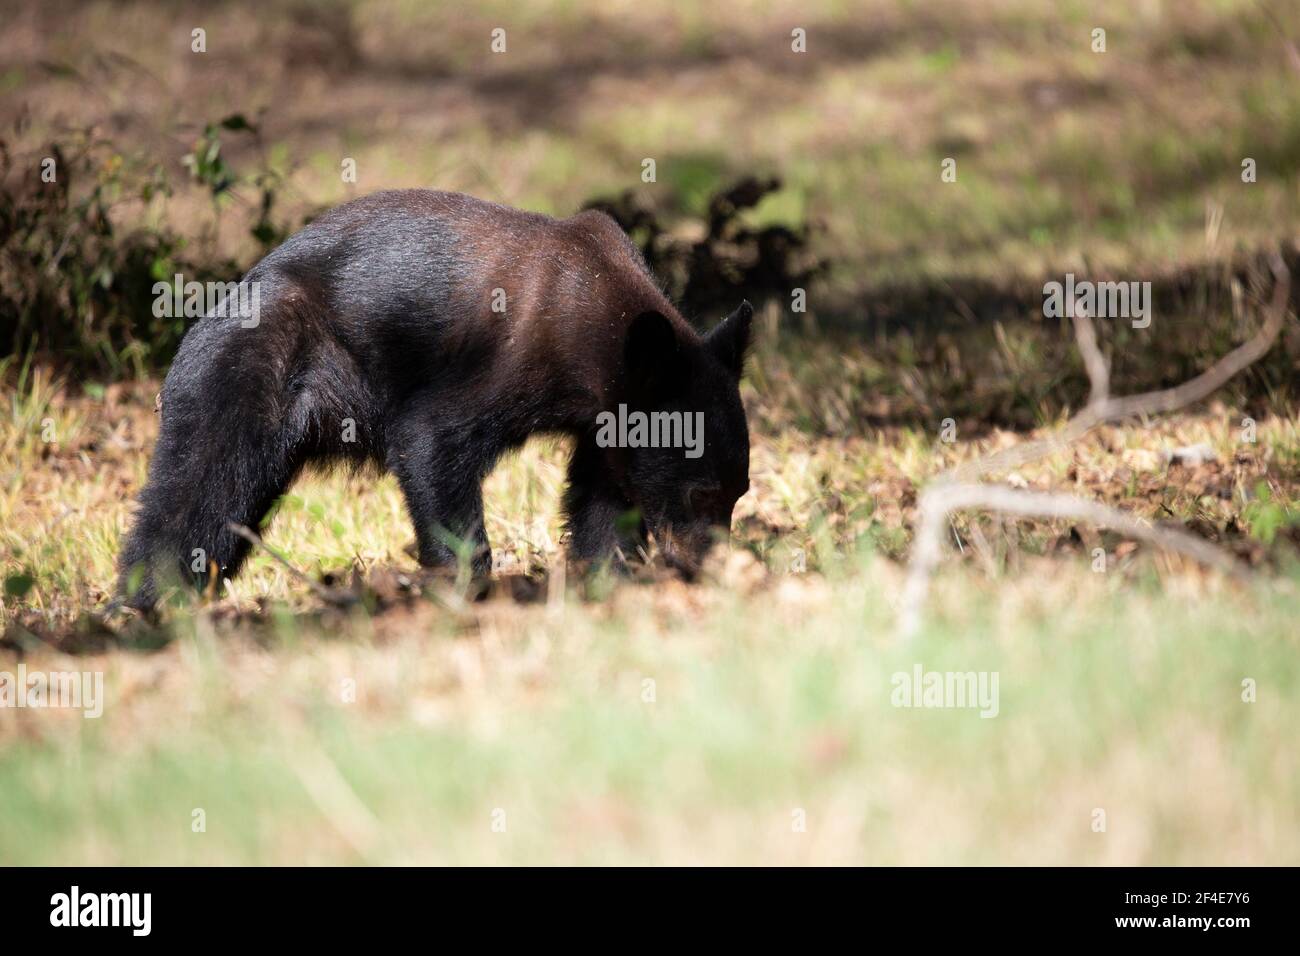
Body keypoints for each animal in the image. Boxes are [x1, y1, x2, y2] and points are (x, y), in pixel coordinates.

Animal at [117, 189, 753, 609]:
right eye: (699, 493)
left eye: (738, 493)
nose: (709, 568)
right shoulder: (505, 357)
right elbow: (432, 440)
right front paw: (464, 581)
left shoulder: (607, 419)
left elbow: (603, 493)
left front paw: (608, 573)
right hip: (255, 368)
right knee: (202, 487)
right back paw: (145, 602)